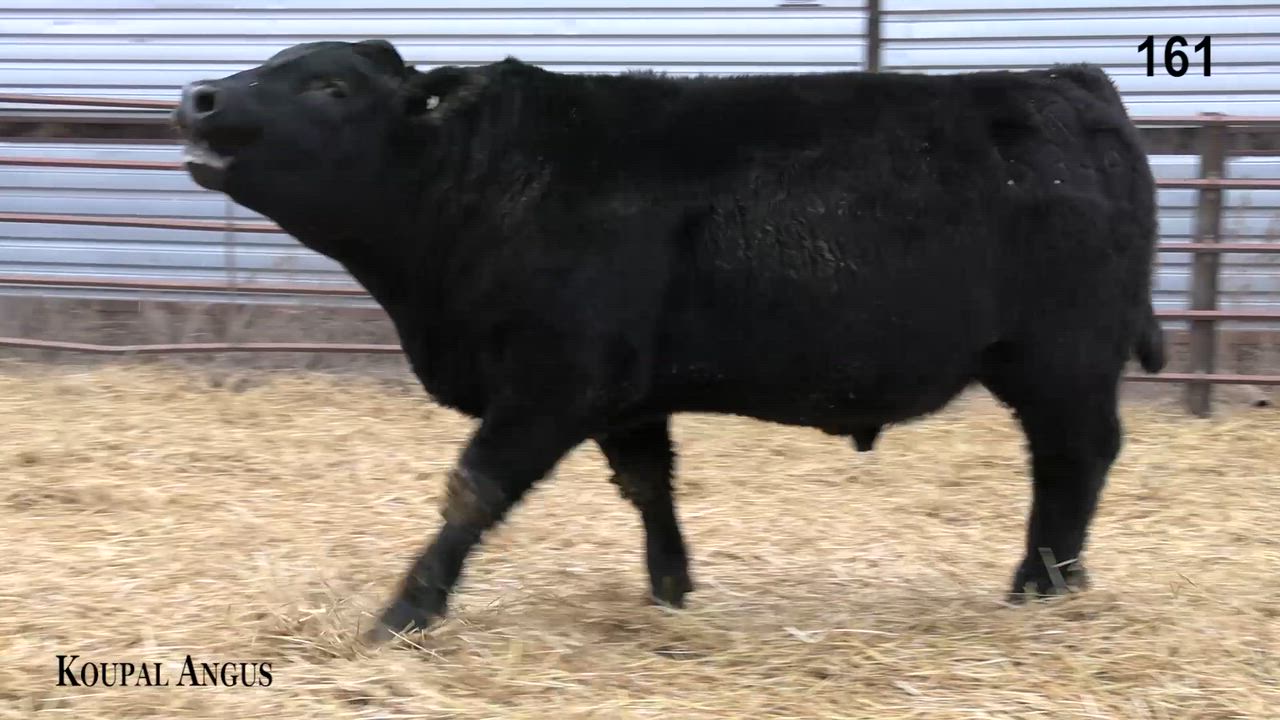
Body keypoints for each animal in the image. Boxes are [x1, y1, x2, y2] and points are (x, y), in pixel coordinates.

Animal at [172, 39, 1166, 643]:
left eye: (328, 85)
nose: (199, 97)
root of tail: (1066, 80)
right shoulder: (624, 394)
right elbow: (649, 486)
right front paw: (671, 591)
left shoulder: (555, 380)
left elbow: (471, 490)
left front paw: (403, 612)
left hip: (1063, 361)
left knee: (1075, 461)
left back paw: (1043, 585)